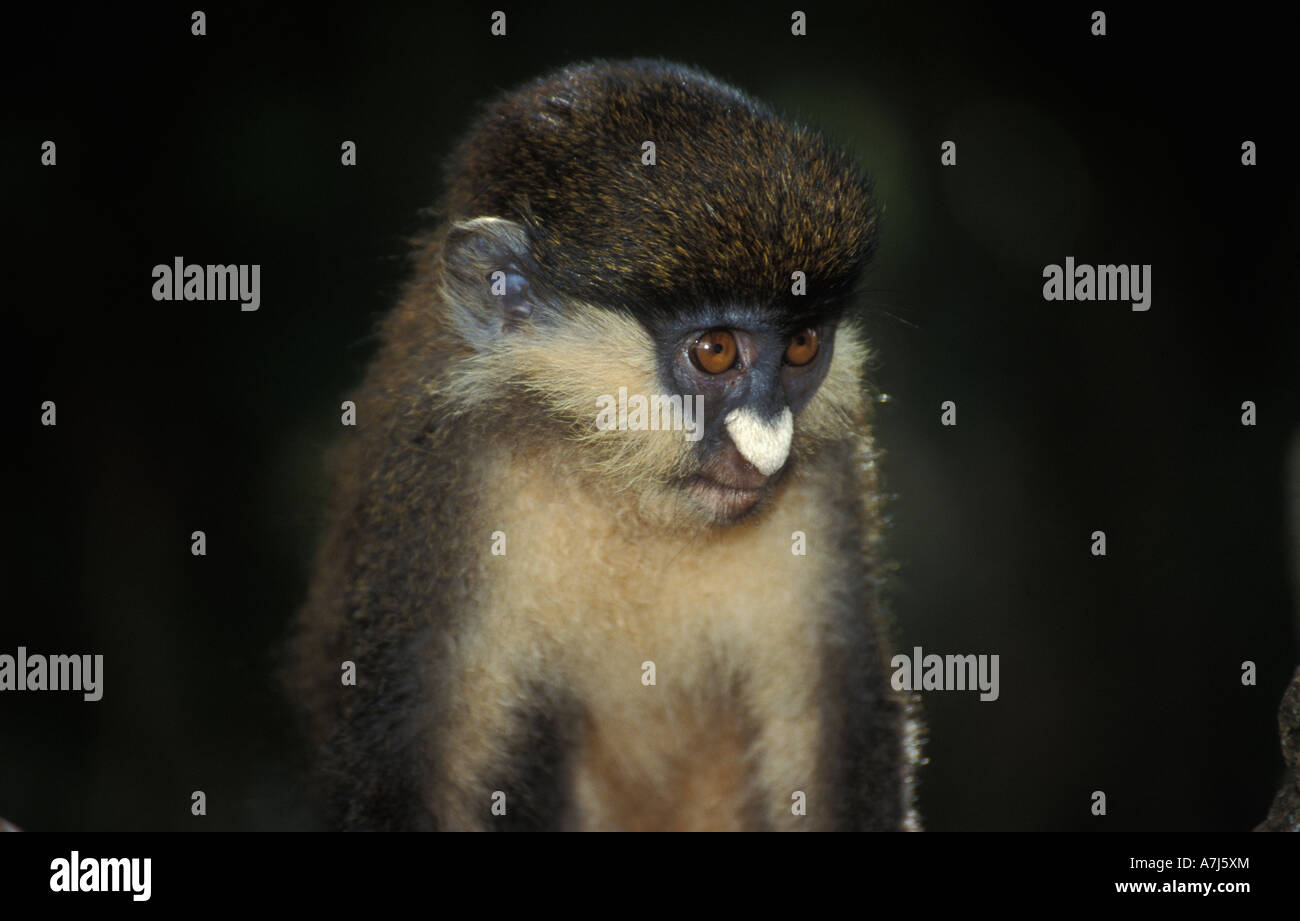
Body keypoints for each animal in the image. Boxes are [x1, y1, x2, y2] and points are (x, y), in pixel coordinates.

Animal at [292, 58, 921, 831]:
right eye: (715, 351)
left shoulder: (825, 470)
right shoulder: (441, 465)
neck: (622, 493)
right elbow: (410, 748)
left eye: (803, 344)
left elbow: (834, 717)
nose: (768, 453)